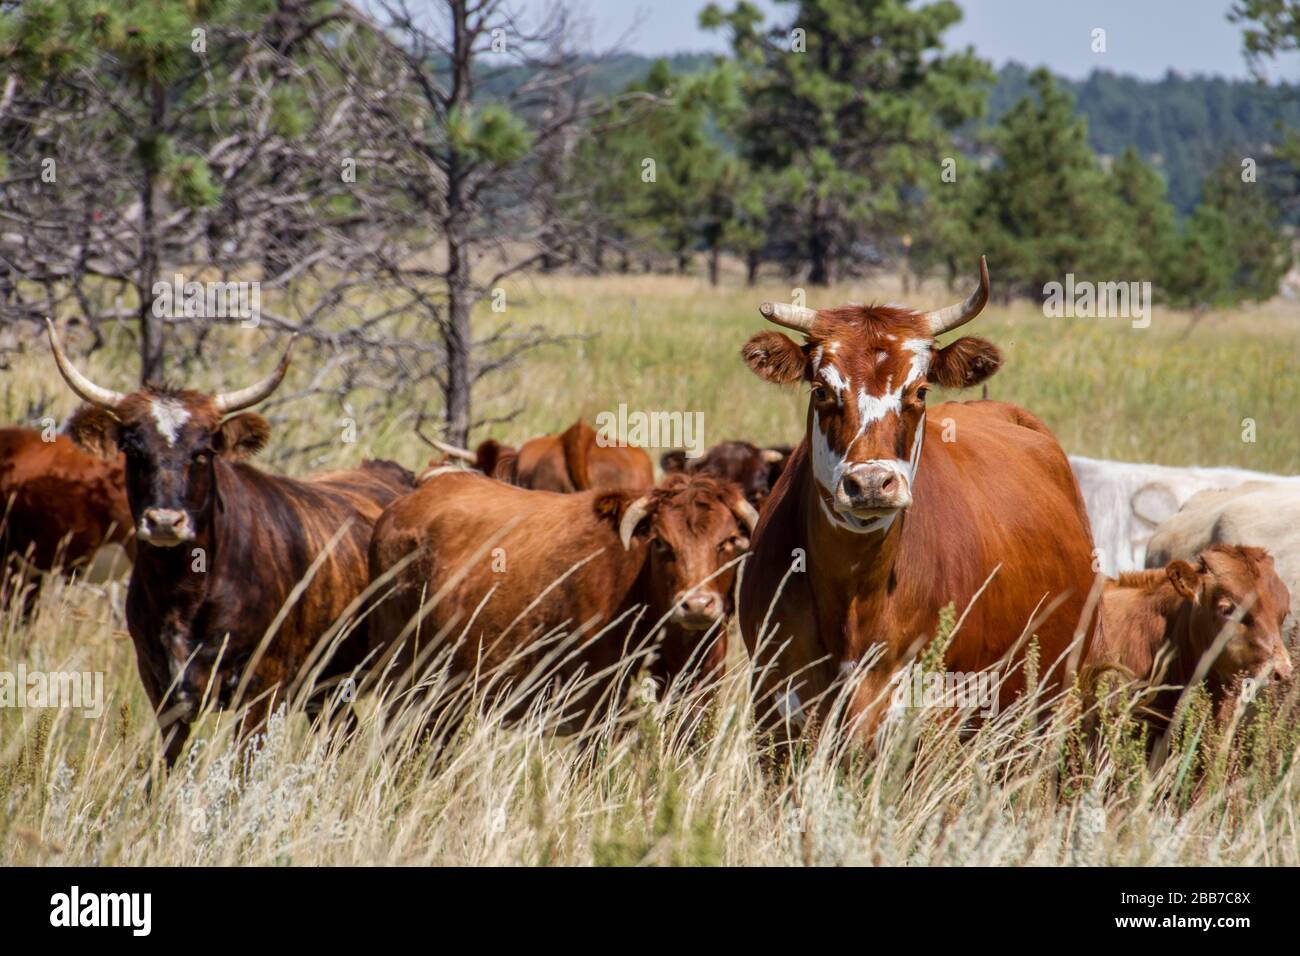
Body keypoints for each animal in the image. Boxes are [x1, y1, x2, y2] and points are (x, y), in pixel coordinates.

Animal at [46, 321, 414, 765]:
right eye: (133, 449)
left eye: (203, 451)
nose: (165, 521)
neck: (186, 590)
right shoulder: (162, 690)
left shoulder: (260, 690)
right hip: (328, 690)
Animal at [366, 470, 759, 733]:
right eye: (661, 542)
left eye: (727, 541)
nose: (697, 604)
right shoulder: (595, 709)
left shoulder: (699, 703)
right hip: (402, 676)